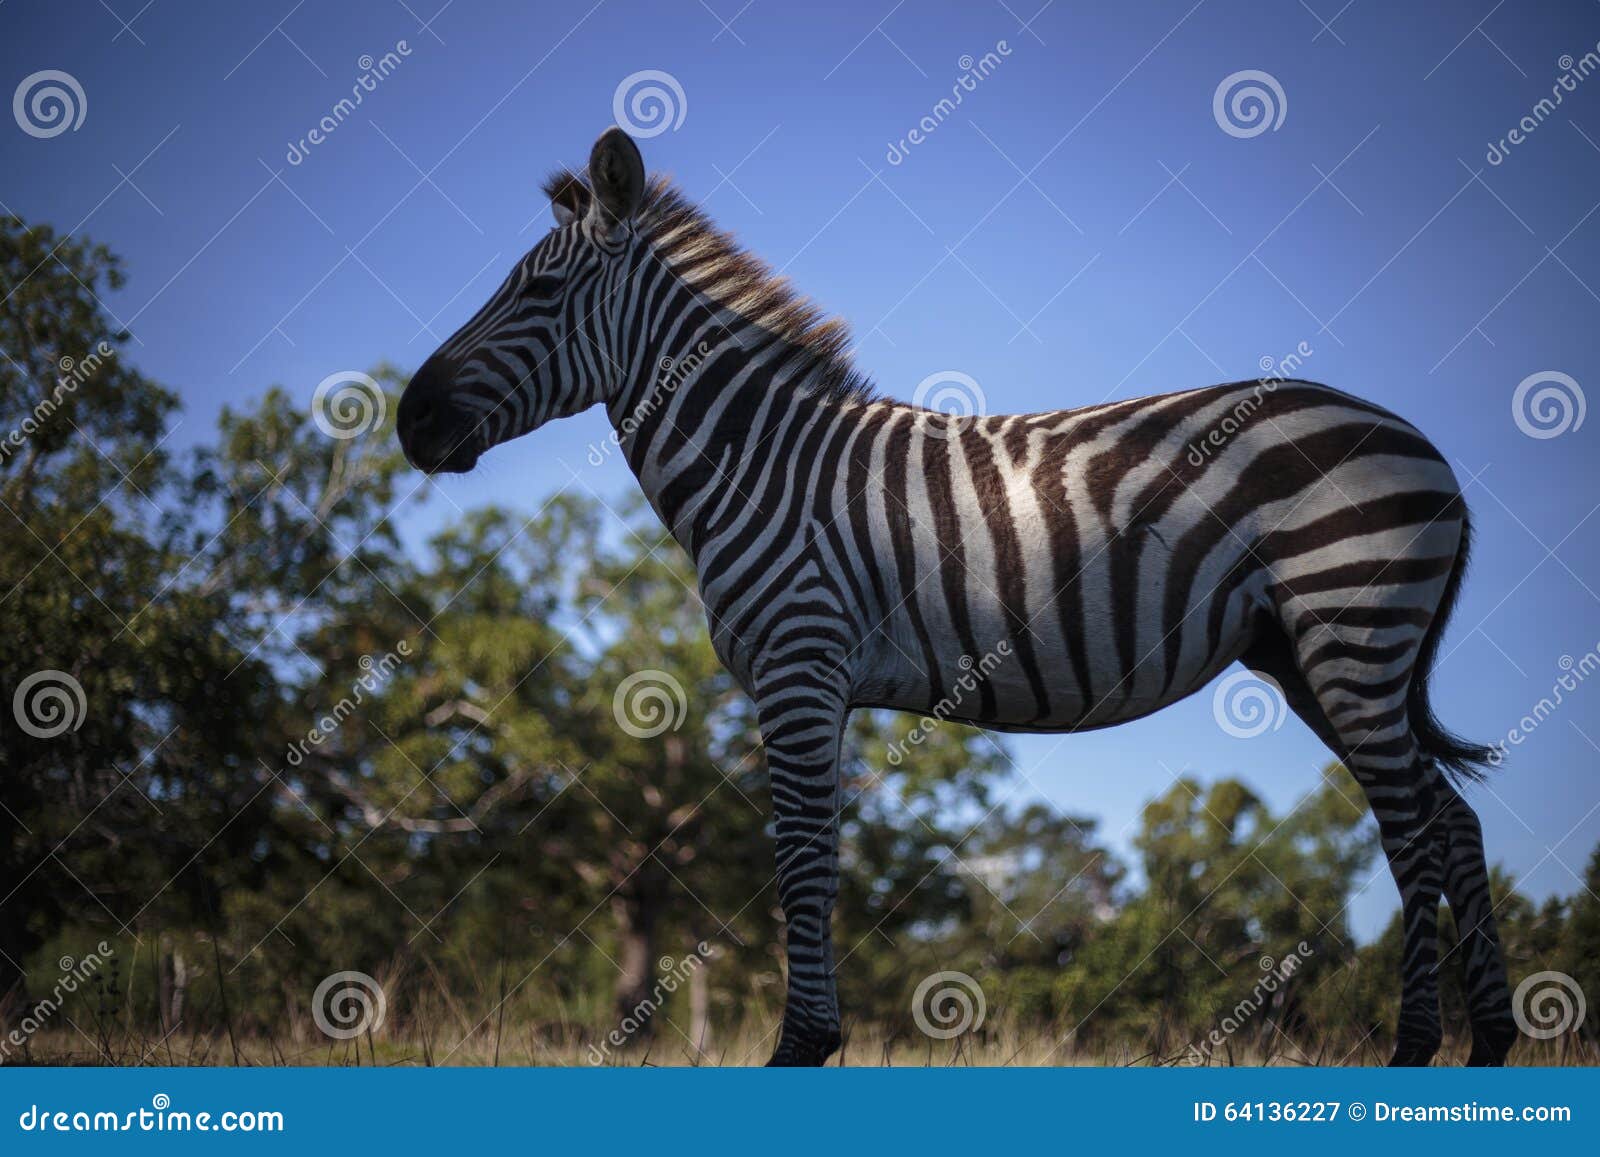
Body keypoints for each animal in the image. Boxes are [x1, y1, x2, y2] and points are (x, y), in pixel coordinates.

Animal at [396, 126, 1516, 1067]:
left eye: (540, 290)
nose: (408, 421)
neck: (761, 463)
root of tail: (1426, 448)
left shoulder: (799, 665)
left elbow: (801, 858)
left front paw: (801, 1047)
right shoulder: (819, 682)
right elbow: (821, 856)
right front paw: (815, 1039)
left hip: (1347, 624)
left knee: (1412, 830)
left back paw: (1416, 1048)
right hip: (1309, 652)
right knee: (1450, 819)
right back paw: (1491, 1042)